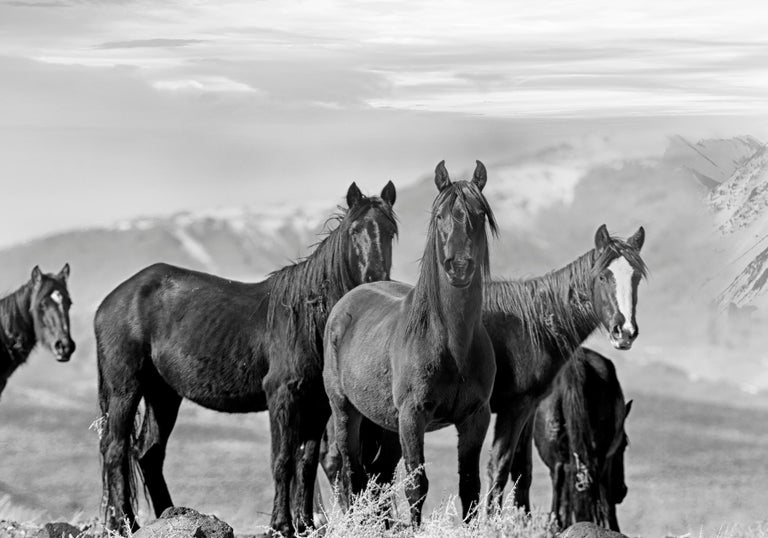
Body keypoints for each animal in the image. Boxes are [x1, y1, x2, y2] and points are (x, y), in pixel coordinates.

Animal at [95, 181, 397, 536]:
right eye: (355, 230)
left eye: (391, 230)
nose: (375, 278)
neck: (308, 318)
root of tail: (111, 301)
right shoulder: (282, 397)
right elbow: (282, 460)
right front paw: (281, 524)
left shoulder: (317, 405)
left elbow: (306, 463)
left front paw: (305, 524)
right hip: (125, 389)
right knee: (115, 449)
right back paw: (123, 523)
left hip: (163, 394)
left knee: (148, 453)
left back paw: (167, 516)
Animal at [322, 160, 498, 526]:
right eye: (440, 215)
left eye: (479, 214)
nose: (459, 267)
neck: (450, 343)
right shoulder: (413, 416)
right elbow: (417, 486)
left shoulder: (476, 418)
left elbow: (470, 488)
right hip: (345, 409)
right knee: (351, 472)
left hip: (385, 422)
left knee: (376, 476)